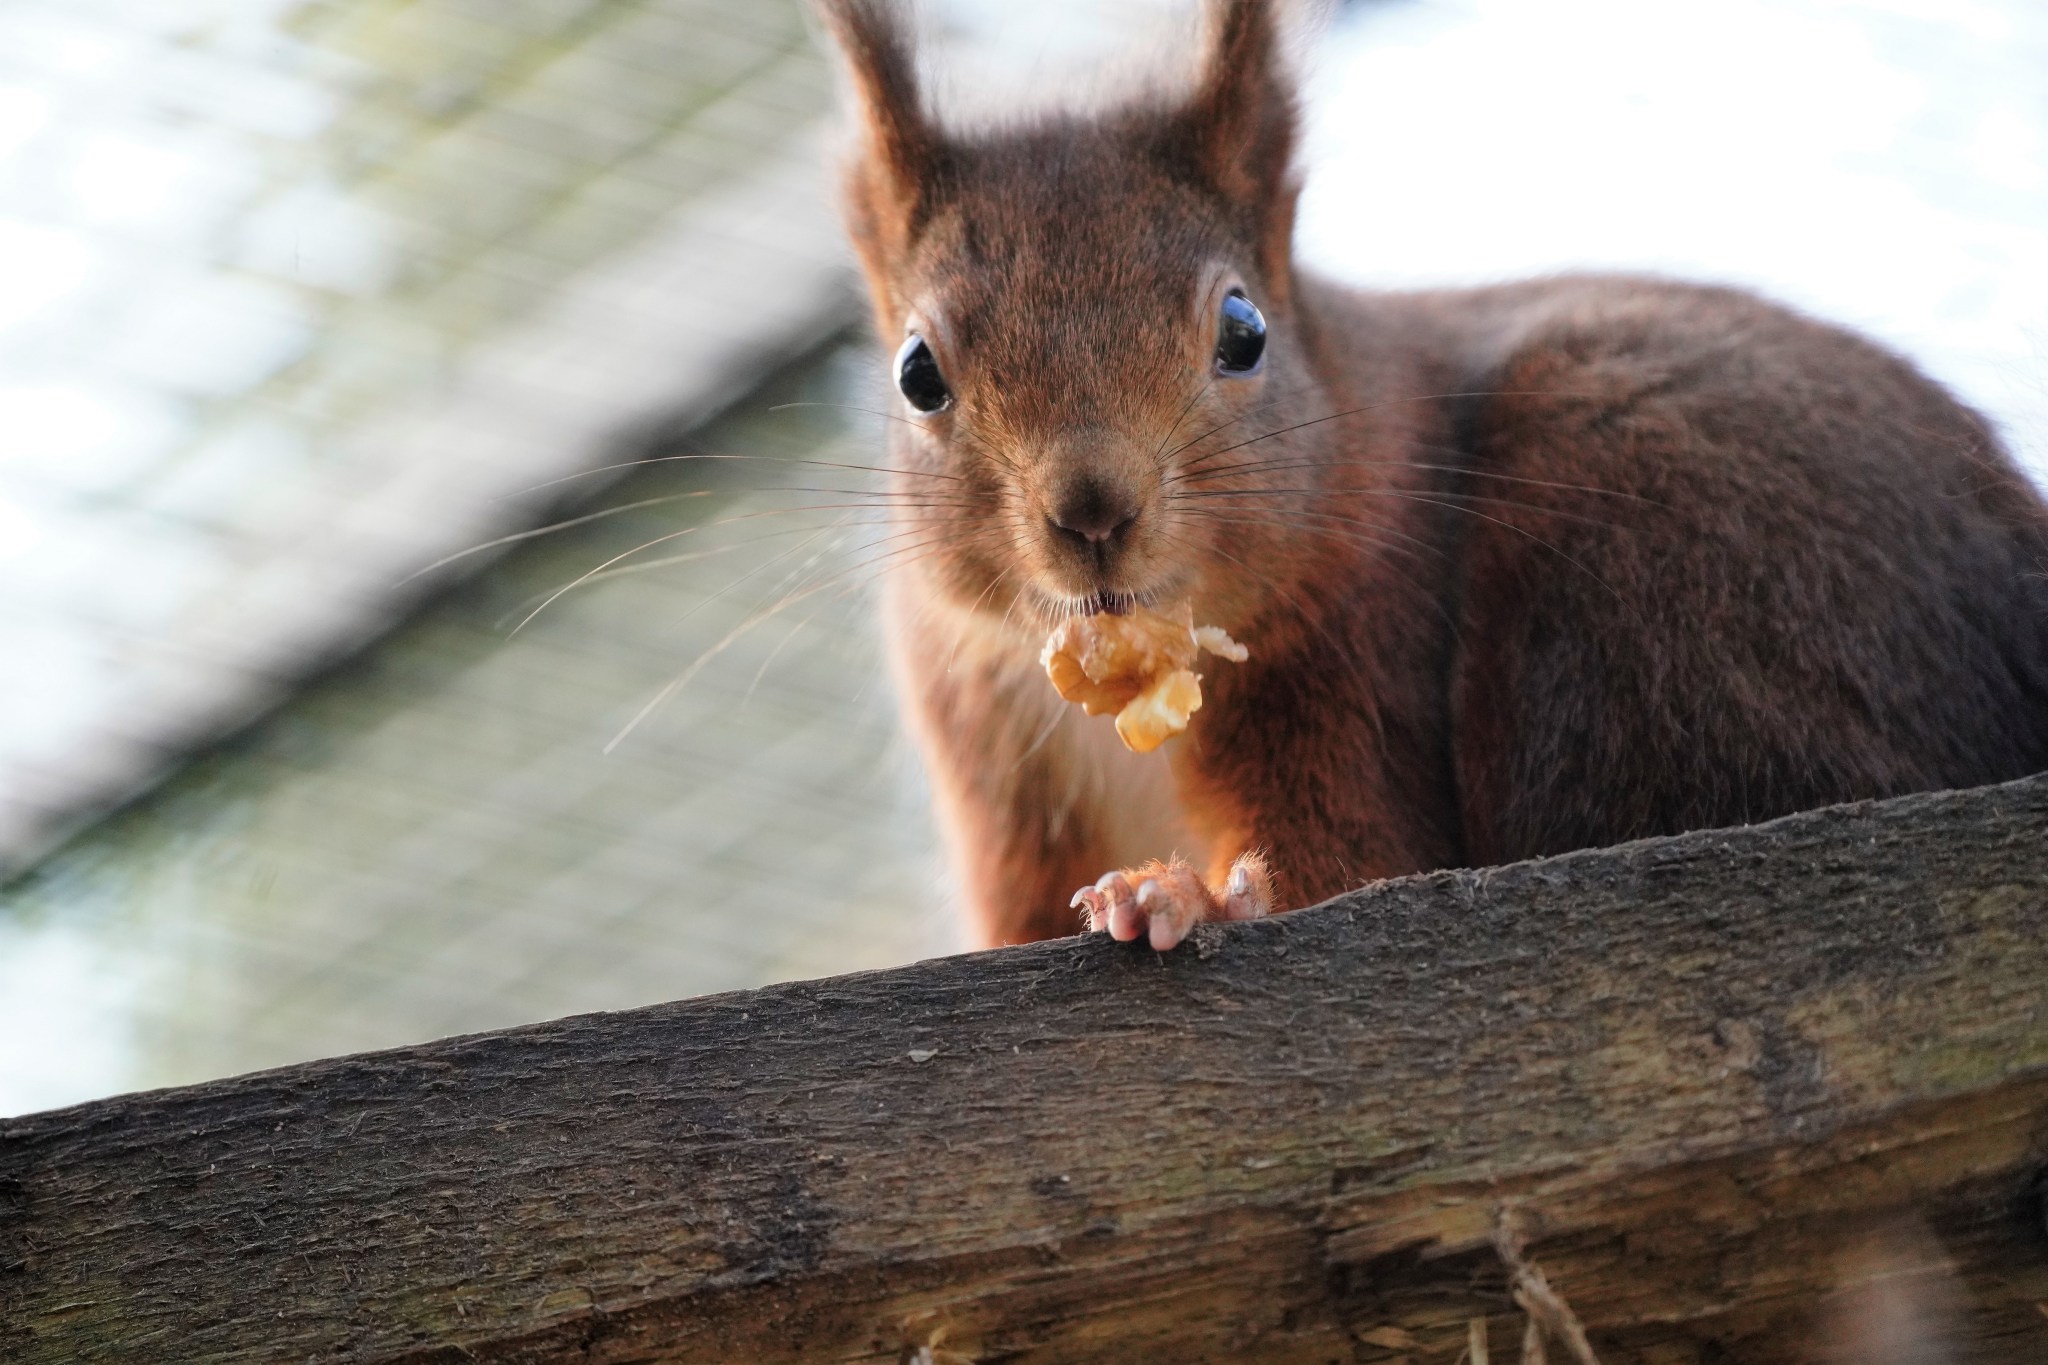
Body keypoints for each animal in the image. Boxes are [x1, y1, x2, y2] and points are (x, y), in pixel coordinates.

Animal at [816, 0, 2048, 951]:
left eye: (1244, 332)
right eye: (917, 371)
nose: (1091, 511)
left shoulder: (1363, 644)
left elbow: (1356, 861)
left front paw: (1182, 900)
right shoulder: (996, 774)